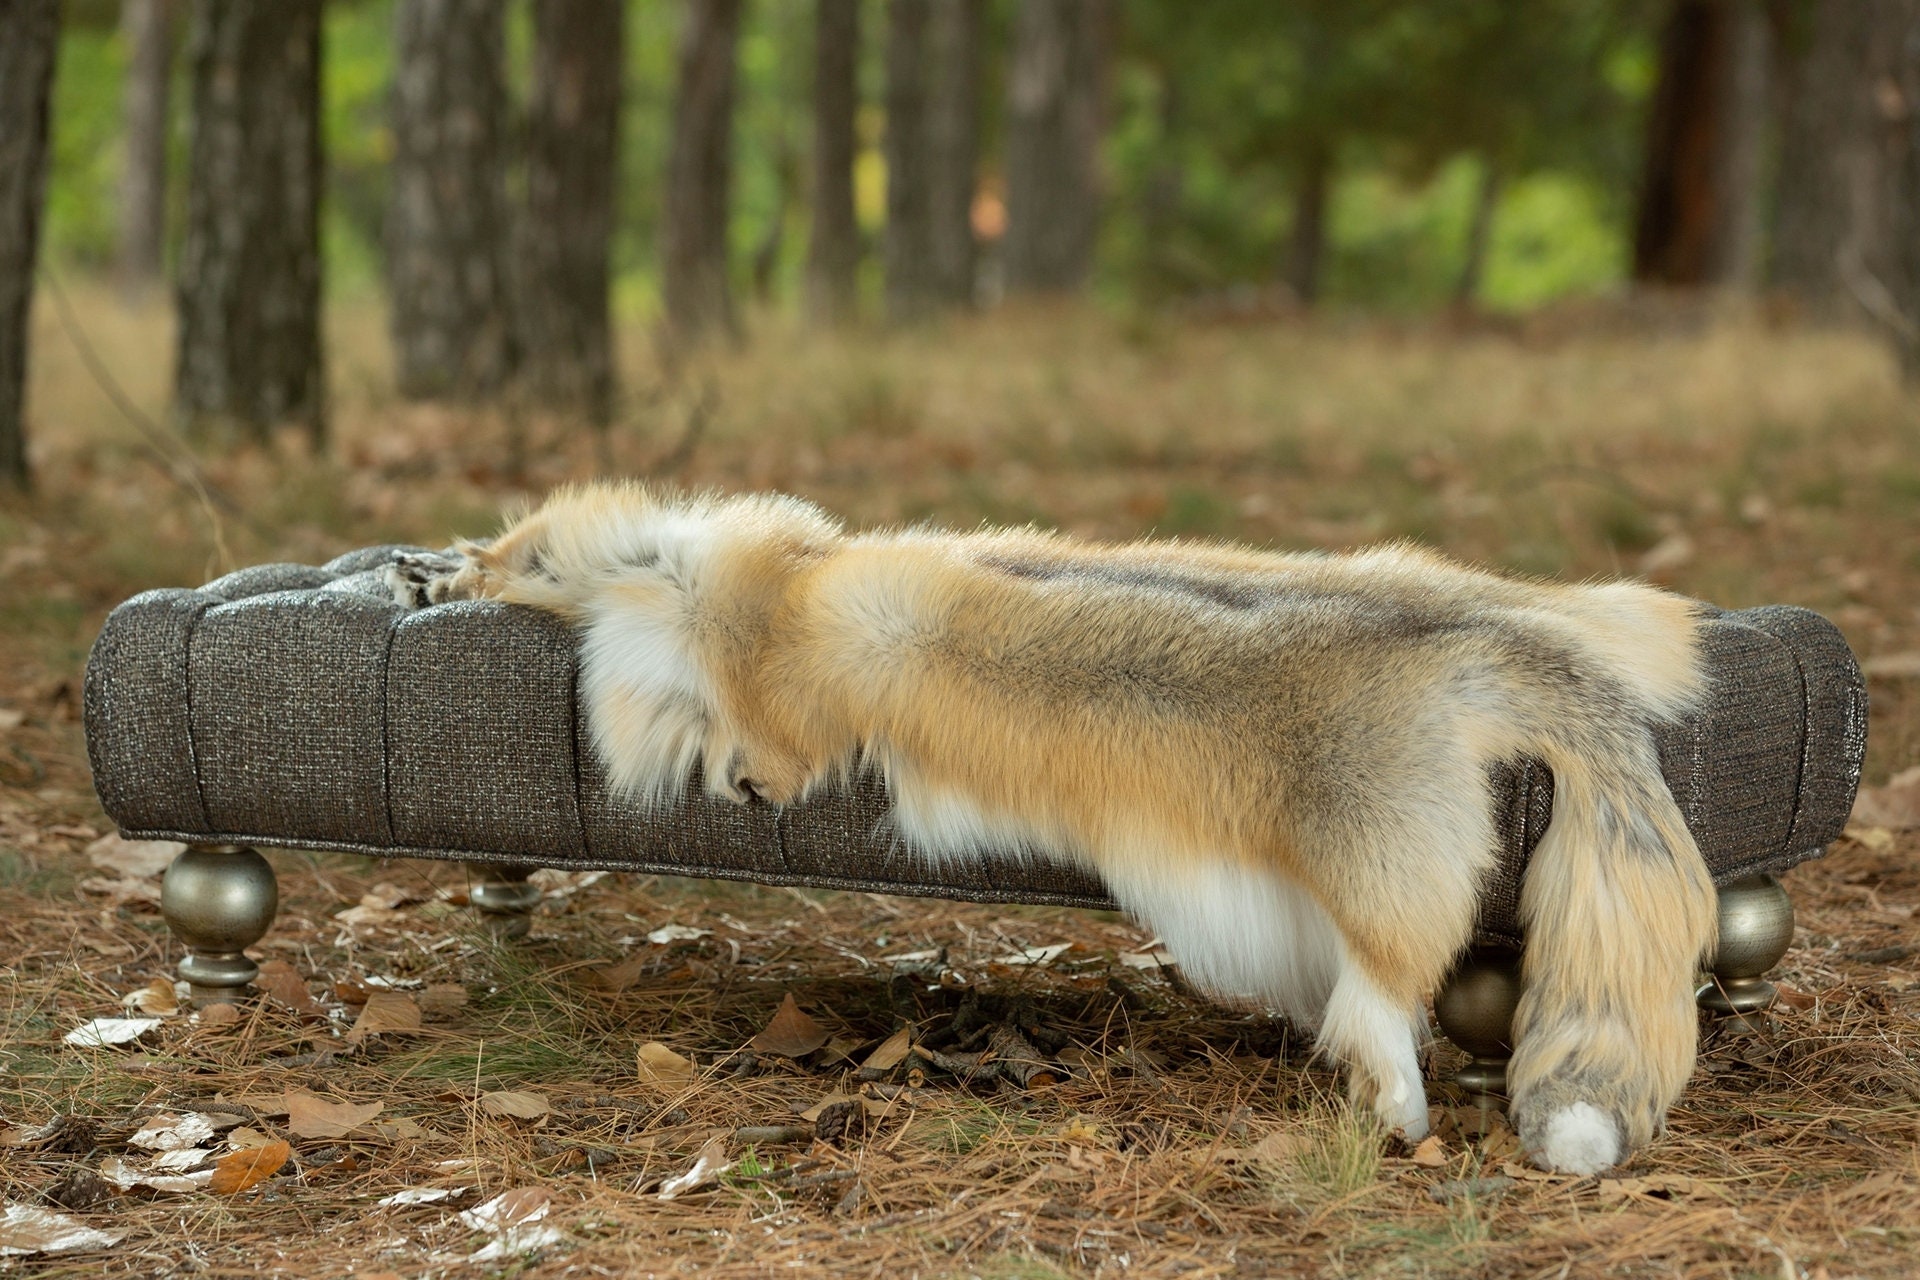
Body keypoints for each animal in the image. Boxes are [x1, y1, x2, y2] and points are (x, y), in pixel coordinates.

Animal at [386, 481, 1718, 1175]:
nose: (424, 572)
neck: (765, 592)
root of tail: (1484, 653)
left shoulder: (761, 687)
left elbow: (750, 744)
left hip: (1385, 873)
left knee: (1382, 1002)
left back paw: (1393, 1103)